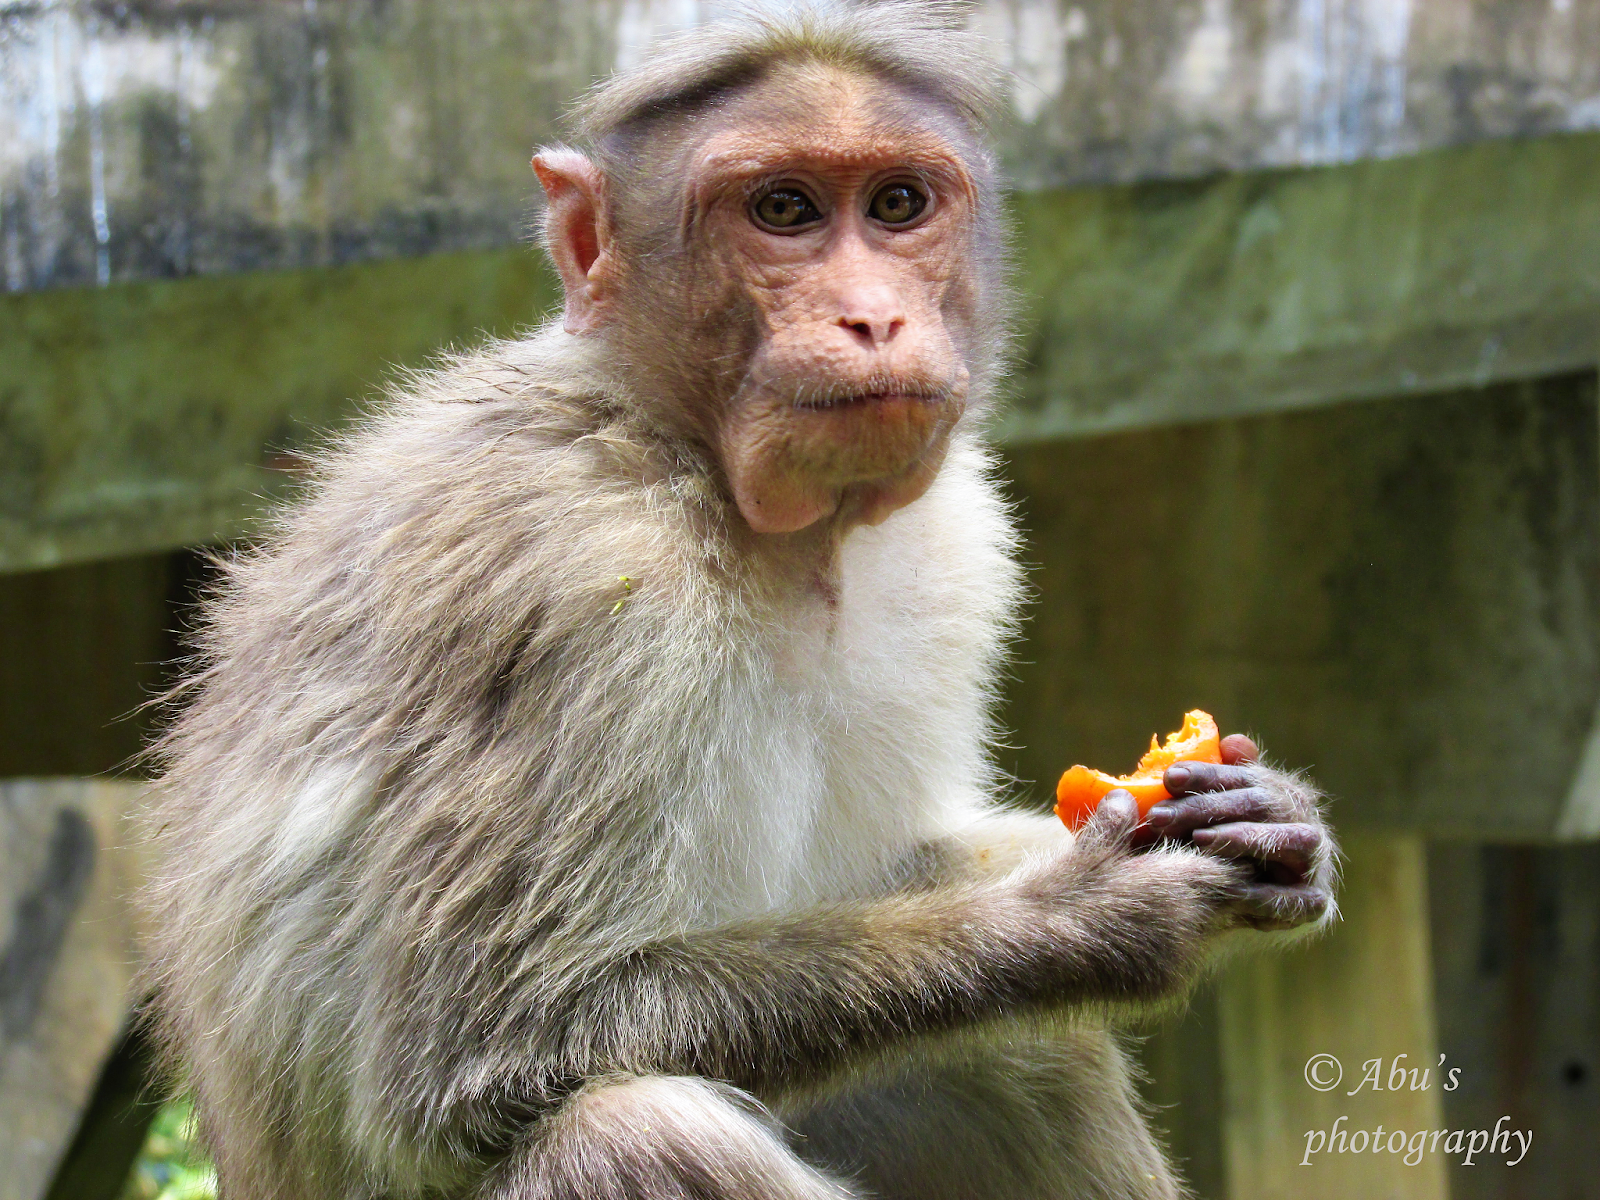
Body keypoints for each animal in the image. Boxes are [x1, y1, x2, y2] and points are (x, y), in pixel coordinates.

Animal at [138, 5, 1336, 1199]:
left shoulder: (955, 541)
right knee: (634, 1135)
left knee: (1024, 1055)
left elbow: (908, 865)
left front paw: (1268, 812)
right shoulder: (577, 585)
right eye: (783, 212)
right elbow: (471, 1056)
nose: (872, 319)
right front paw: (1087, 921)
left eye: (897, 205)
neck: (710, 473)